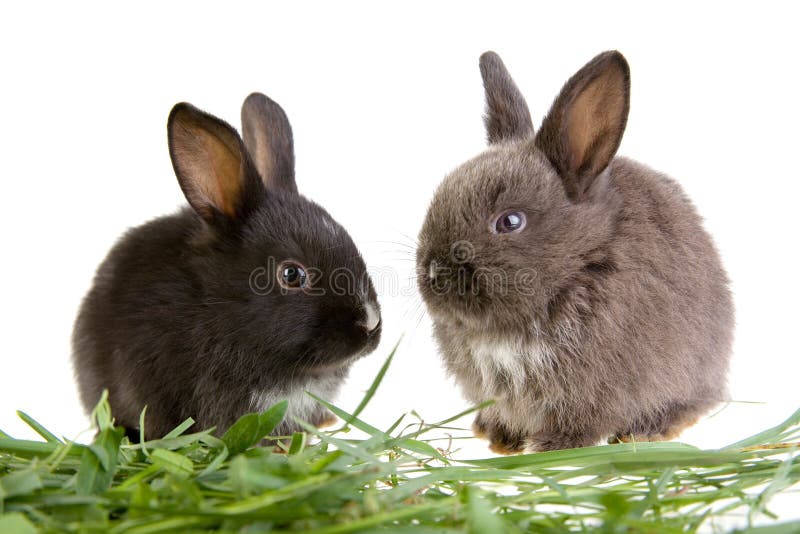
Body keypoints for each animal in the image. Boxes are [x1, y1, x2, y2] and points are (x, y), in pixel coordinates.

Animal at [416, 50, 734, 453]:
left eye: (510, 221)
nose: (433, 273)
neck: (578, 265)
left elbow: (579, 422)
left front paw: (546, 447)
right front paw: (500, 437)